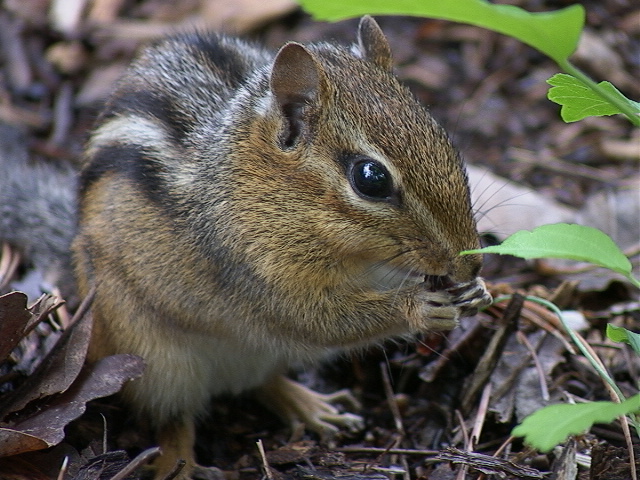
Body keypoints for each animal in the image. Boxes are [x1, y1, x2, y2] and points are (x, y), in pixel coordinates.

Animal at [2, 16, 492, 479]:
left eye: (444, 138)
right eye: (371, 178)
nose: (470, 265)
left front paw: (477, 293)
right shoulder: (253, 271)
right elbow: (319, 320)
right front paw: (418, 306)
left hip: (262, 355)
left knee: (263, 381)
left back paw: (310, 406)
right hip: (155, 359)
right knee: (175, 418)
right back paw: (177, 464)